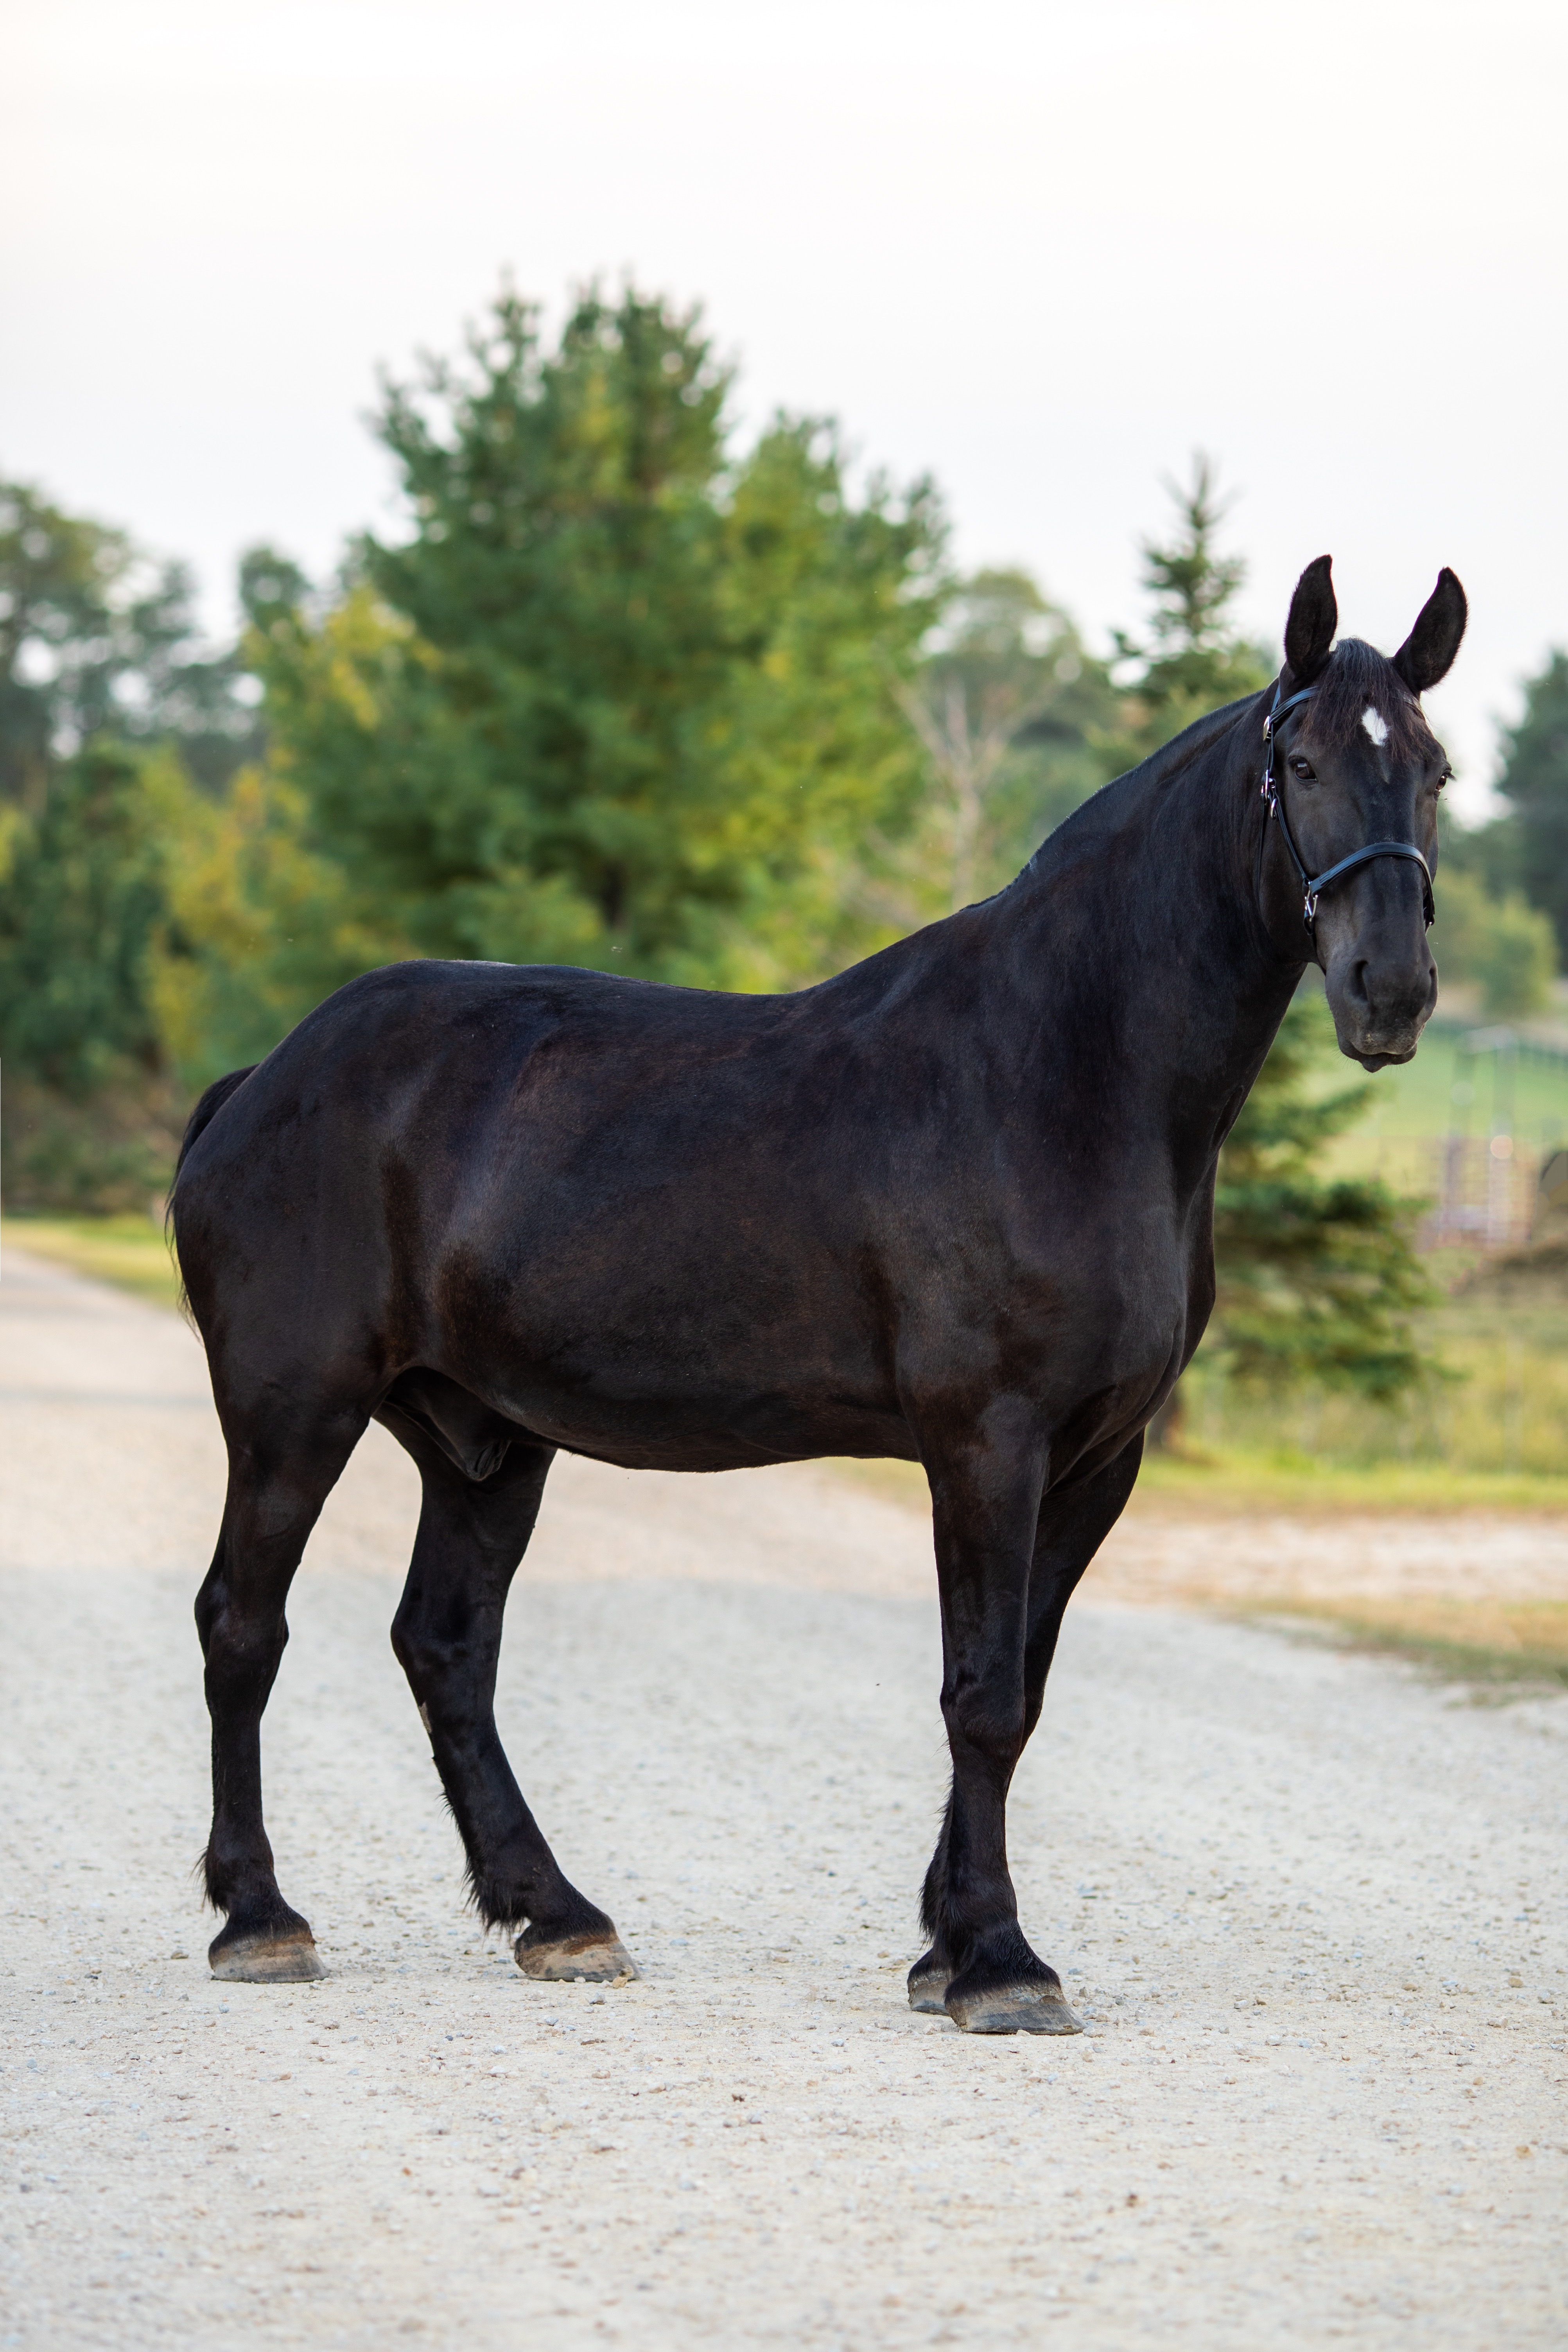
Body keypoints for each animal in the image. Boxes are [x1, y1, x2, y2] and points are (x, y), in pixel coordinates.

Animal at [170, 554, 1465, 2032]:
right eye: (1300, 764)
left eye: (1434, 770)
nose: (1389, 989)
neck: (1066, 1073)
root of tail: (259, 1080)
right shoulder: (989, 1442)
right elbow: (982, 1699)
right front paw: (1001, 1962)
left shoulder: (1100, 1458)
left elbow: (1020, 1688)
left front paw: (945, 1945)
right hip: (295, 1412)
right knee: (243, 1625)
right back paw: (260, 1917)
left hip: (482, 1439)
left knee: (444, 1647)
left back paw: (556, 1914)